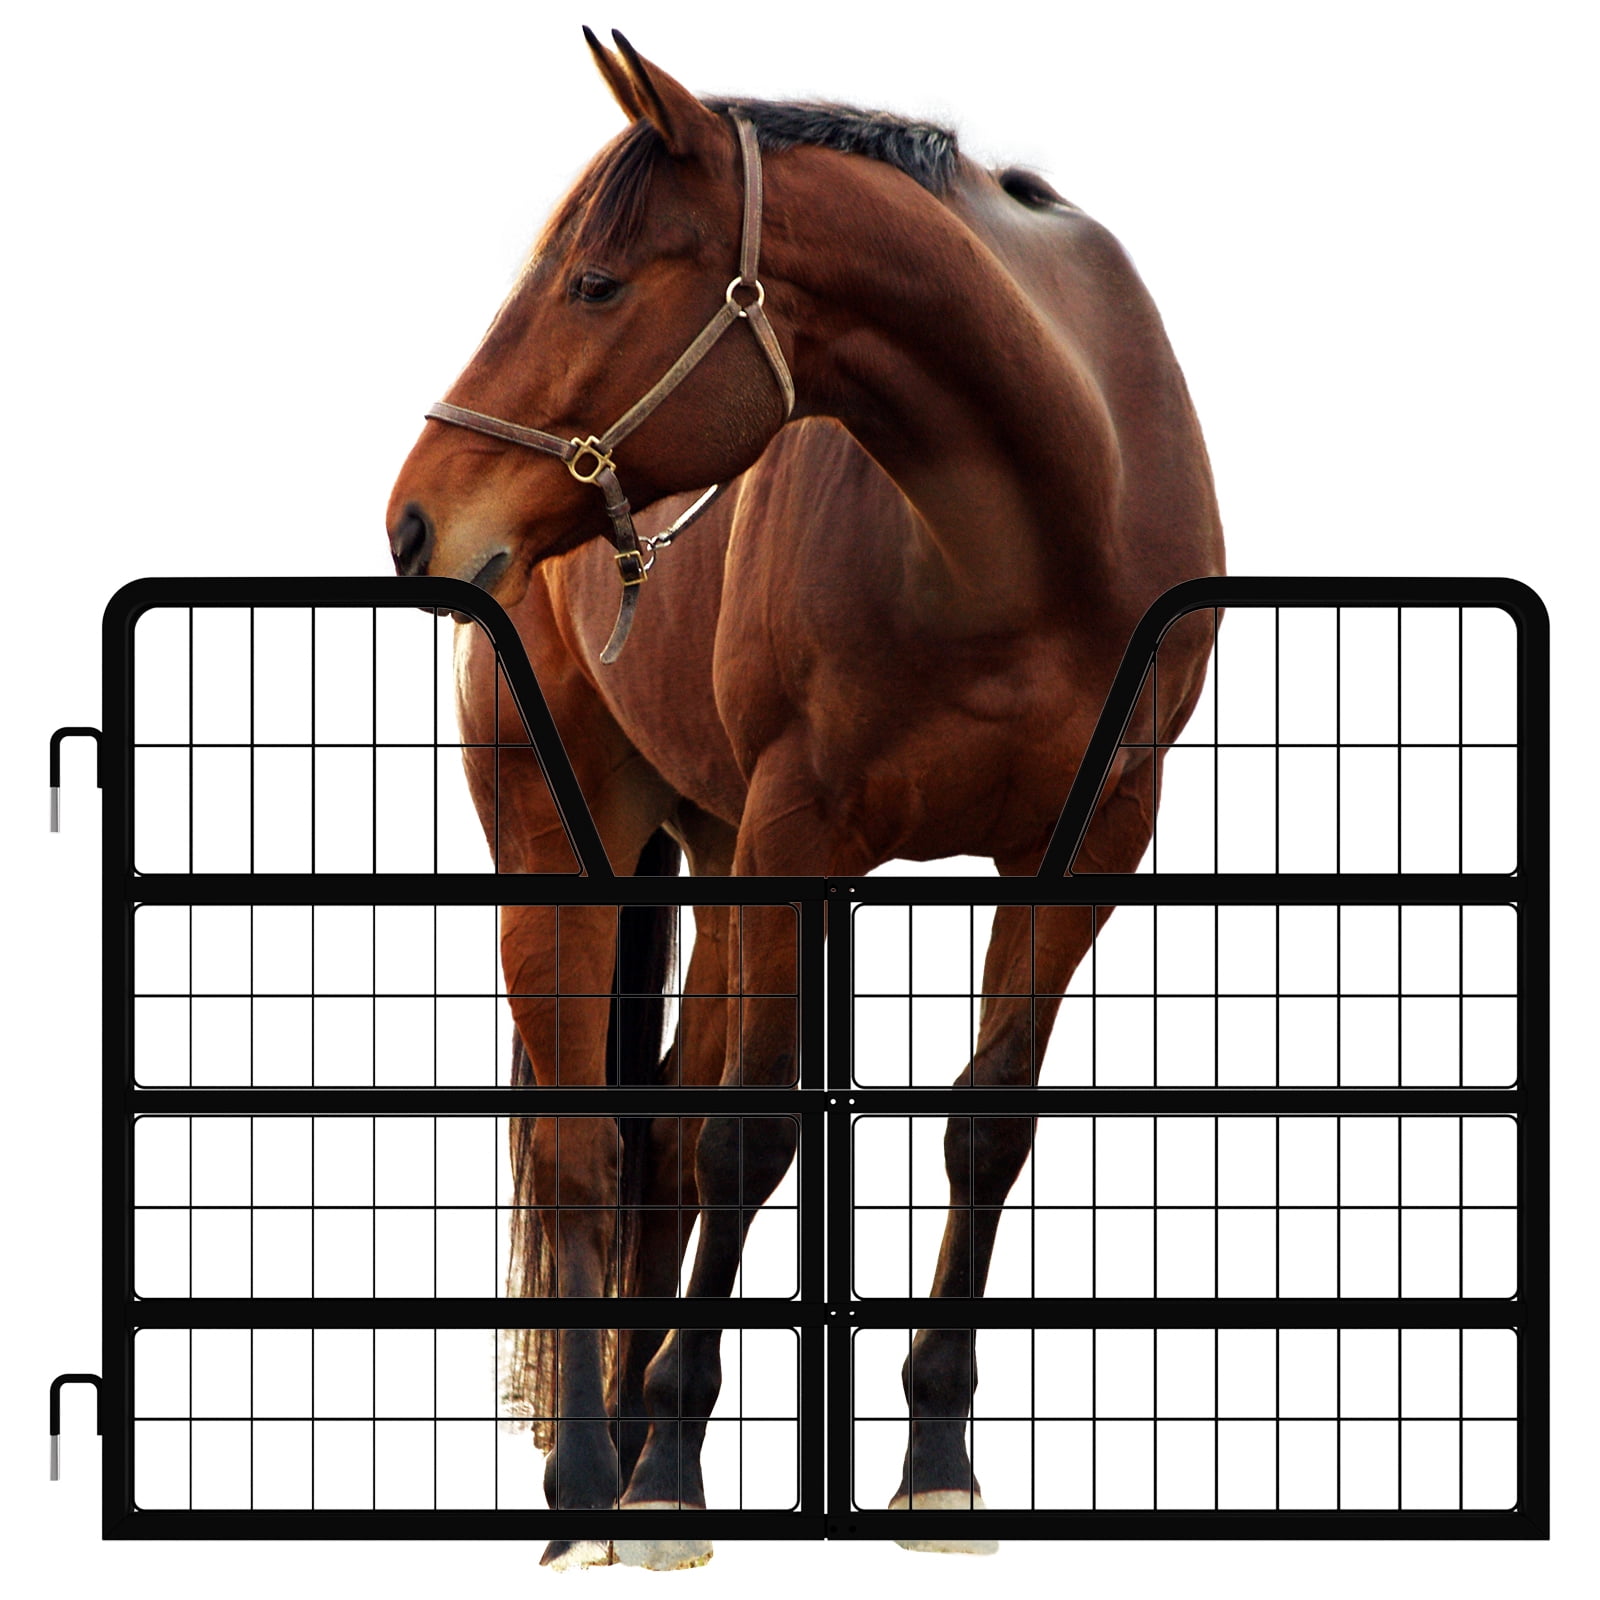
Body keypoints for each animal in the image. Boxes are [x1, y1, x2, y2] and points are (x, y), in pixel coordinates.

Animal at [386, 29, 1223, 1567]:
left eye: (595, 282)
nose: (415, 518)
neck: (1028, 535)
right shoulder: (802, 833)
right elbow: (752, 1137)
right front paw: (667, 1480)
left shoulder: (1079, 852)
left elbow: (984, 1129)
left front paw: (937, 1469)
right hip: (561, 841)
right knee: (584, 1139)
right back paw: (592, 1484)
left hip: (712, 860)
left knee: (652, 1124)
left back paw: (632, 1445)